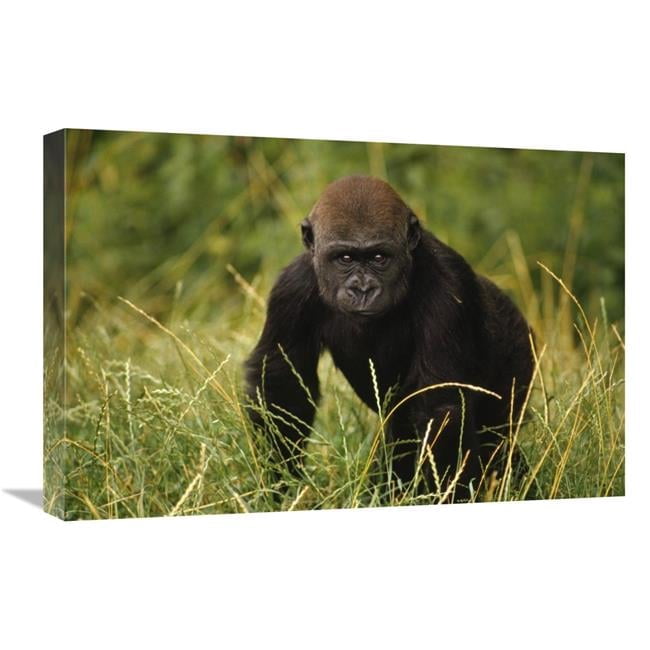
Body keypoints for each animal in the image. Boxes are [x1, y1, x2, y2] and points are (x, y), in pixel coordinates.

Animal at [245, 175, 534, 502]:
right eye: (345, 258)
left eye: (379, 257)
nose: (363, 289)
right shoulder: (291, 288)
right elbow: (283, 387)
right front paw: (277, 486)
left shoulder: (448, 285)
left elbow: (440, 408)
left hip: (518, 352)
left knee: (495, 440)